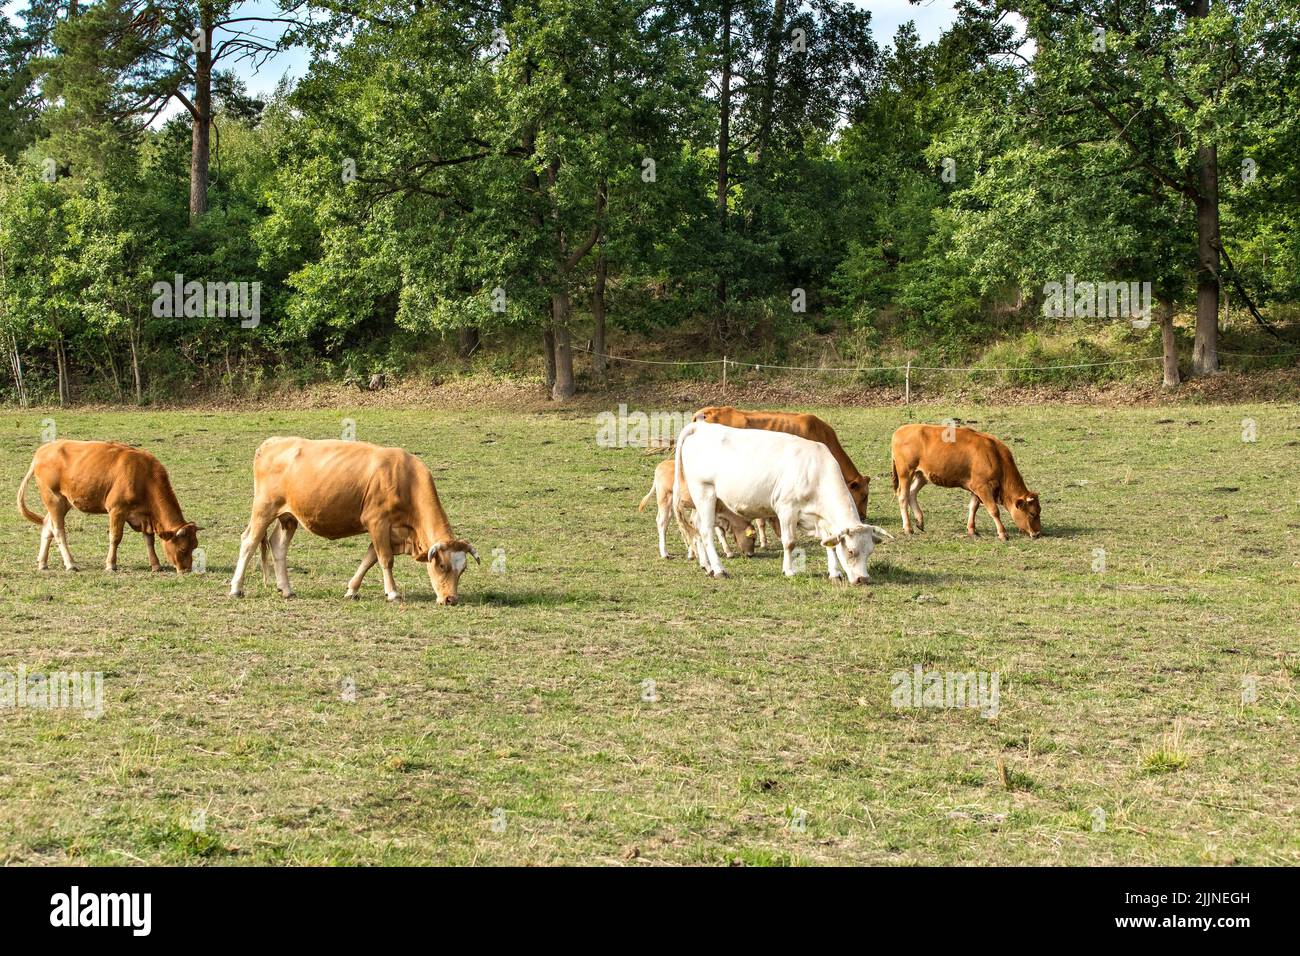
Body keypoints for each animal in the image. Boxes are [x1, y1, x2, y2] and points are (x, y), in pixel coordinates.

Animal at [16, 440, 201, 573]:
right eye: (183, 548)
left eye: (194, 546)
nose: (186, 570)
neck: (144, 476)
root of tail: (42, 452)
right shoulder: (117, 510)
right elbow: (115, 537)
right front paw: (111, 565)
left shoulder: (145, 516)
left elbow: (149, 540)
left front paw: (155, 565)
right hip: (54, 499)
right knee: (58, 531)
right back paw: (70, 564)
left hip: (64, 502)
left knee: (47, 527)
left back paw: (43, 563)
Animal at [229, 437, 478, 605]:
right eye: (442, 566)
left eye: (463, 569)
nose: (451, 599)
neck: (405, 479)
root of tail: (271, 443)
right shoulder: (377, 522)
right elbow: (385, 559)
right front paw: (393, 593)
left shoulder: (390, 532)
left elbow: (369, 559)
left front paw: (352, 590)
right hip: (264, 508)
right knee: (249, 541)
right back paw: (236, 588)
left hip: (288, 517)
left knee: (278, 545)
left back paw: (287, 589)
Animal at [673, 422, 891, 583]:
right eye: (852, 551)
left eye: (870, 551)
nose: (863, 579)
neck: (815, 471)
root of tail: (701, 426)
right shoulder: (787, 509)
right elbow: (789, 542)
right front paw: (789, 570)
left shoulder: (821, 519)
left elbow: (829, 544)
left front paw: (835, 574)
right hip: (704, 493)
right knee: (706, 532)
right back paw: (718, 569)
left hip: (703, 500)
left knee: (696, 527)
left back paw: (707, 566)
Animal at [890, 423, 1042, 540]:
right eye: (1032, 513)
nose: (1037, 533)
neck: (995, 455)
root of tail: (899, 431)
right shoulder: (983, 487)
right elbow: (994, 510)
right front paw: (1003, 533)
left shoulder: (976, 488)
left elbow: (973, 507)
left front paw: (972, 530)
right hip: (906, 473)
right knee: (903, 497)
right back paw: (908, 528)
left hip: (922, 475)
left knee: (912, 493)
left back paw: (920, 521)